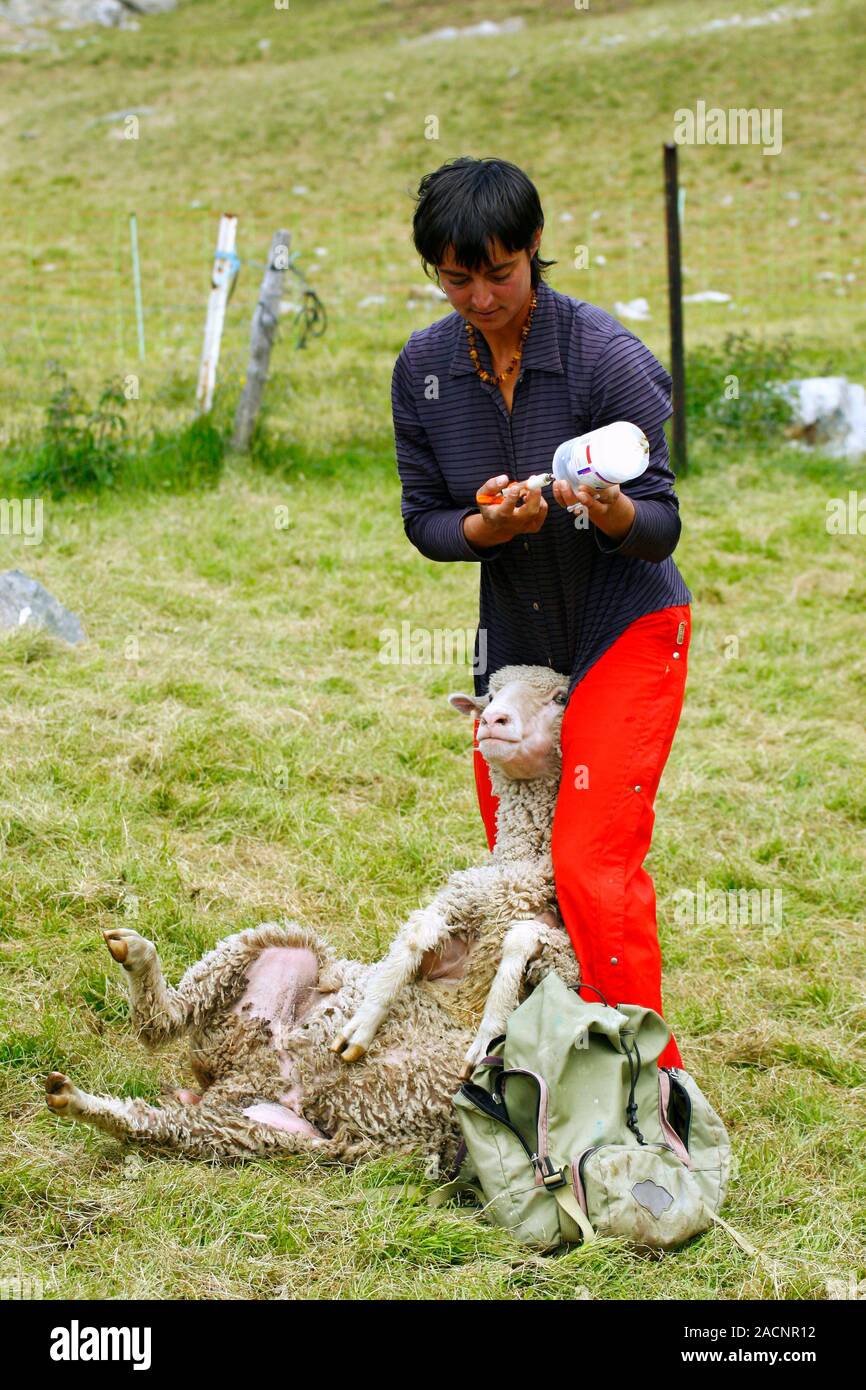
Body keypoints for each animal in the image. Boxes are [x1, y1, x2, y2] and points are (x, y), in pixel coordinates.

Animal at [45, 664, 581, 1166]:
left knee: (157, 1122)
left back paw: (75, 1098)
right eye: (488, 696)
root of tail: (237, 1075)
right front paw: (363, 1024)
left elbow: (523, 939)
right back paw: (134, 960)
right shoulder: (456, 901)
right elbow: (417, 938)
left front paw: (489, 1032)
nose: (493, 720)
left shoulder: (568, 963)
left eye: (560, 697)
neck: (517, 867)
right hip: (267, 947)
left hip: (255, 1130)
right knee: (164, 1021)